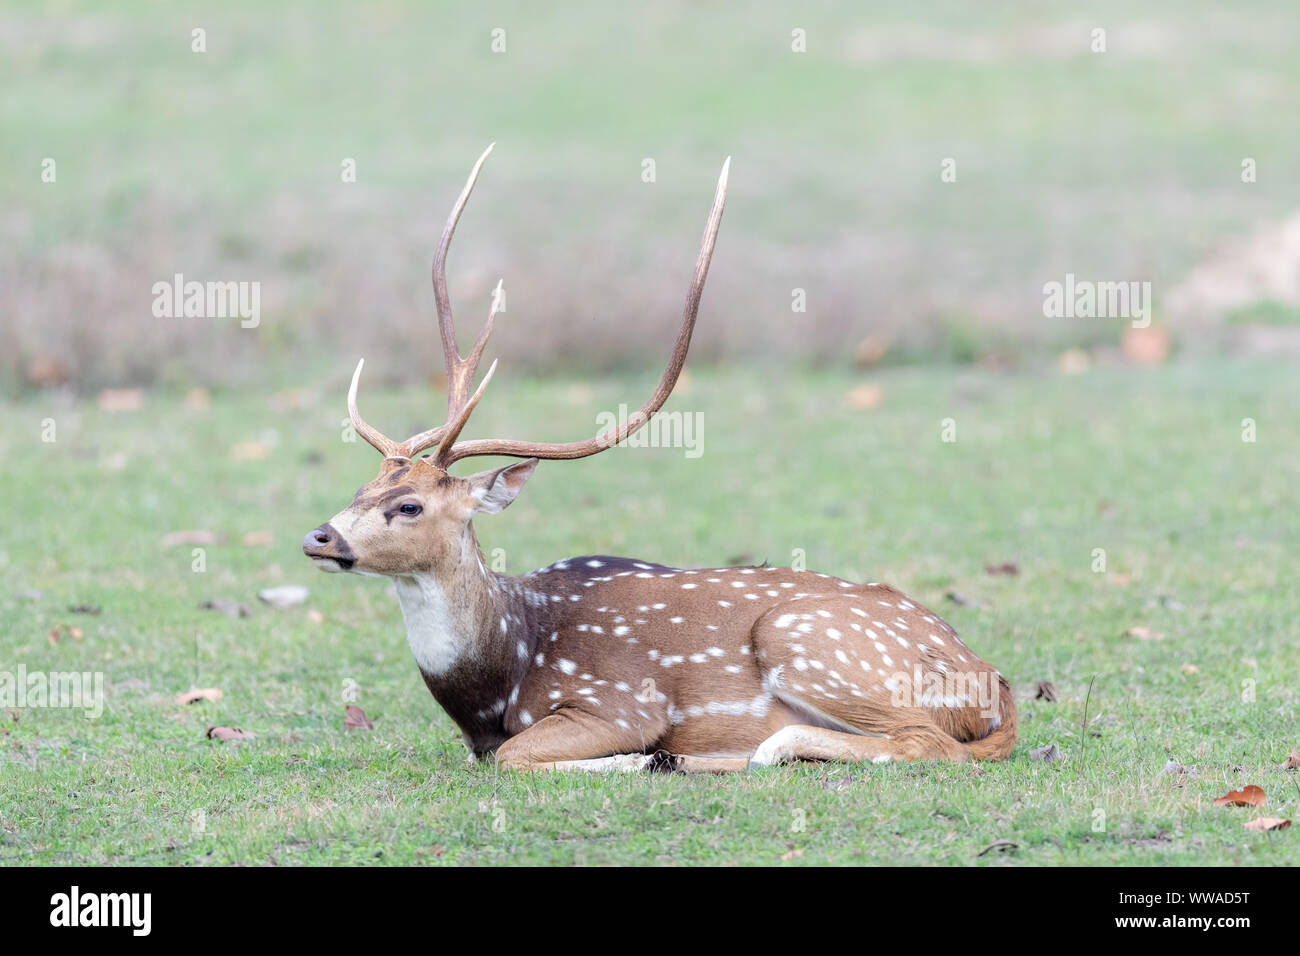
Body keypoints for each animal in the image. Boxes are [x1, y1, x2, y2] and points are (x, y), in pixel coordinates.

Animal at [303, 146, 1017, 773]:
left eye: (410, 505)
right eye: (362, 487)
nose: (319, 536)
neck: (498, 681)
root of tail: (997, 687)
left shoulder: (616, 703)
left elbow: (515, 757)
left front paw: (642, 758)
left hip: (808, 641)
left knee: (926, 742)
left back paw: (740, 751)